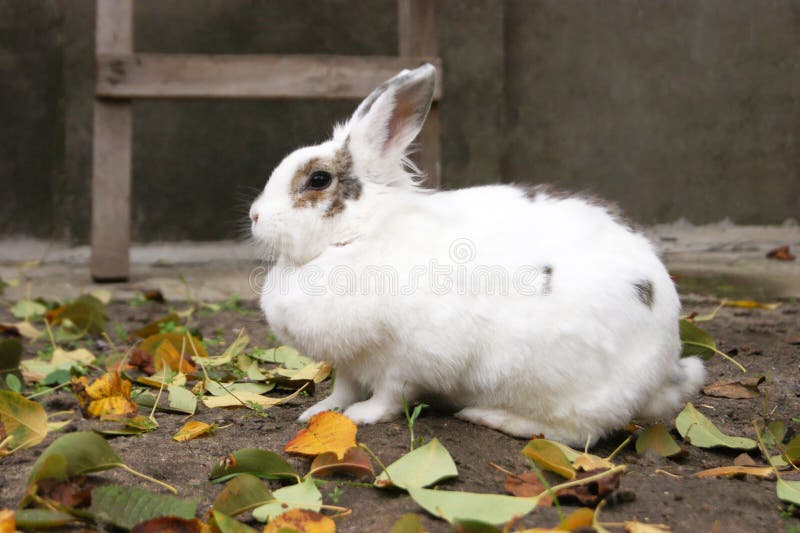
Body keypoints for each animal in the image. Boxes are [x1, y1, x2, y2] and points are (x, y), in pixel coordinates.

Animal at [249, 63, 705, 446]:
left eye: (318, 180)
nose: (254, 216)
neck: (358, 234)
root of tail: (664, 368)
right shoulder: (347, 361)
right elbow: (341, 389)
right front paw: (317, 411)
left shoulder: (409, 356)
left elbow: (390, 394)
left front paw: (362, 415)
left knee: (576, 433)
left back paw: (488, 416)